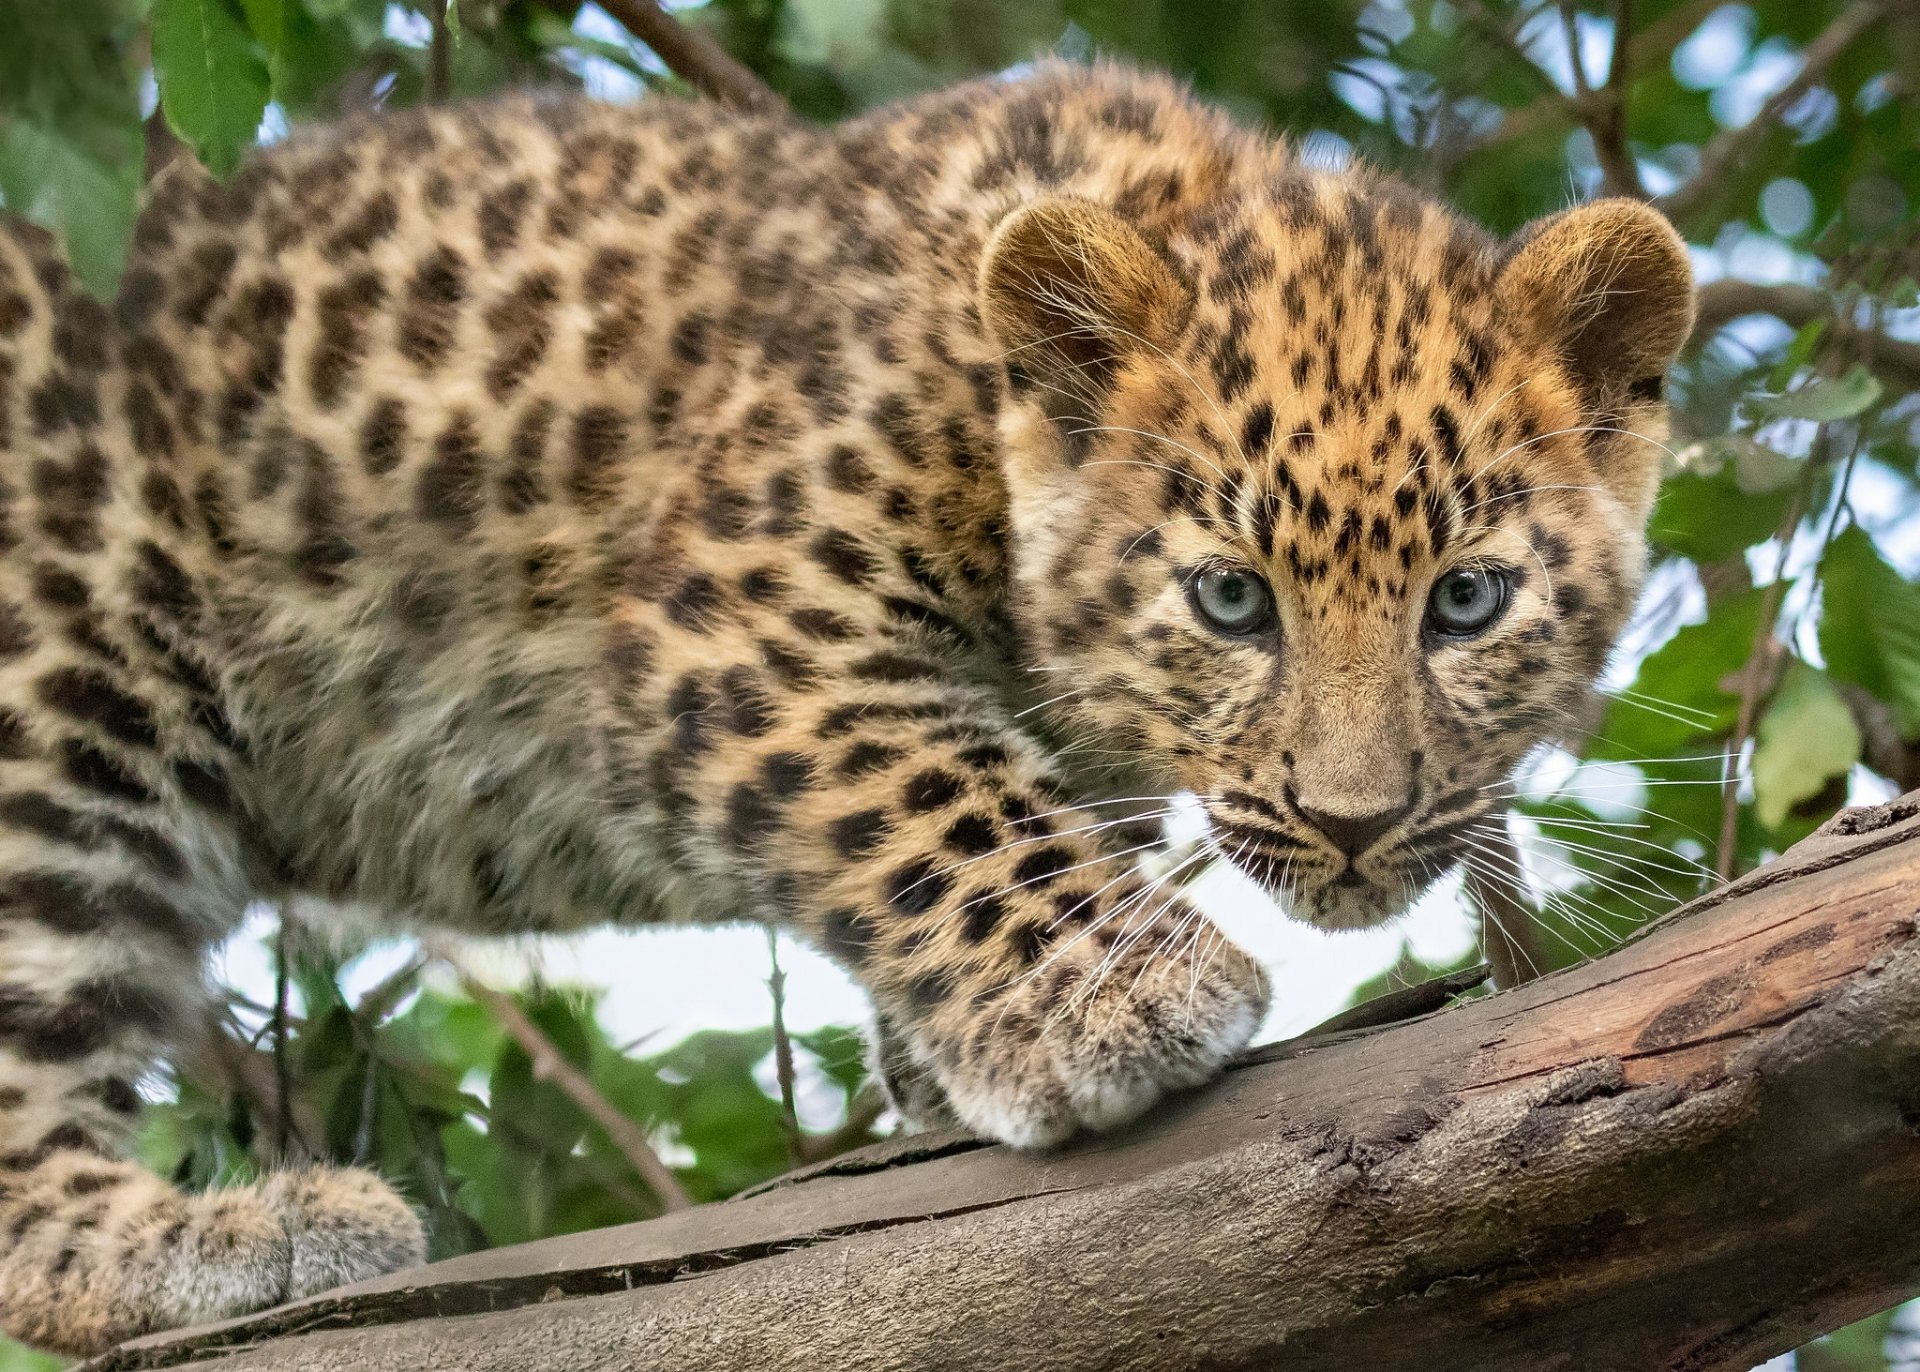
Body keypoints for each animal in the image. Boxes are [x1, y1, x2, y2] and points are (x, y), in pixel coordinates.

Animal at [0, 59, 1693, 1353]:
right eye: (1230, 601)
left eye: (1465, 602)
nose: (1354, 827)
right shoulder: (738, 624)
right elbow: (938, 799)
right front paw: (1114, 991)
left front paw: (948, 1058)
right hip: (66, 669)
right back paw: (233, 1239)